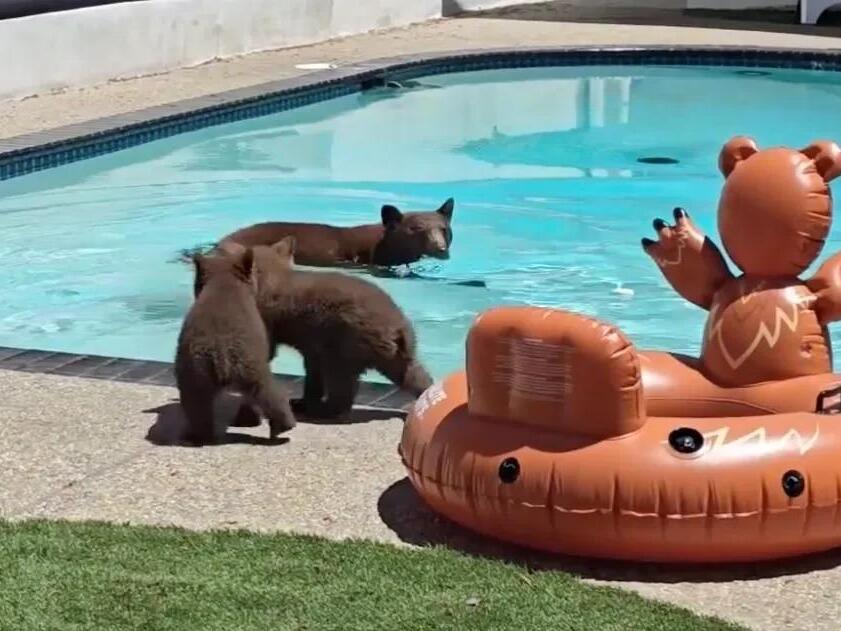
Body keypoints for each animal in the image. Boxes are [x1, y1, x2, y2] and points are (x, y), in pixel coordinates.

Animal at [174, 246, 296, 444]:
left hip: (195, 376)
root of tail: (220, 353)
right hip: (253, 371)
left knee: (197, 408)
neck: (223, 280)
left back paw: (198, 435)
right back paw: (284, 427)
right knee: (270, 394)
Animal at [219, 237, 434, 418]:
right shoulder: (312, 346)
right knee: (412, 374)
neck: (273, 281)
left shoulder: (268, 320)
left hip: (346, 343)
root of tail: (399, 327)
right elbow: (313, 373)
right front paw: (303, 401)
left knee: (341, 382)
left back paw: (325, 410)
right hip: (393, 355)